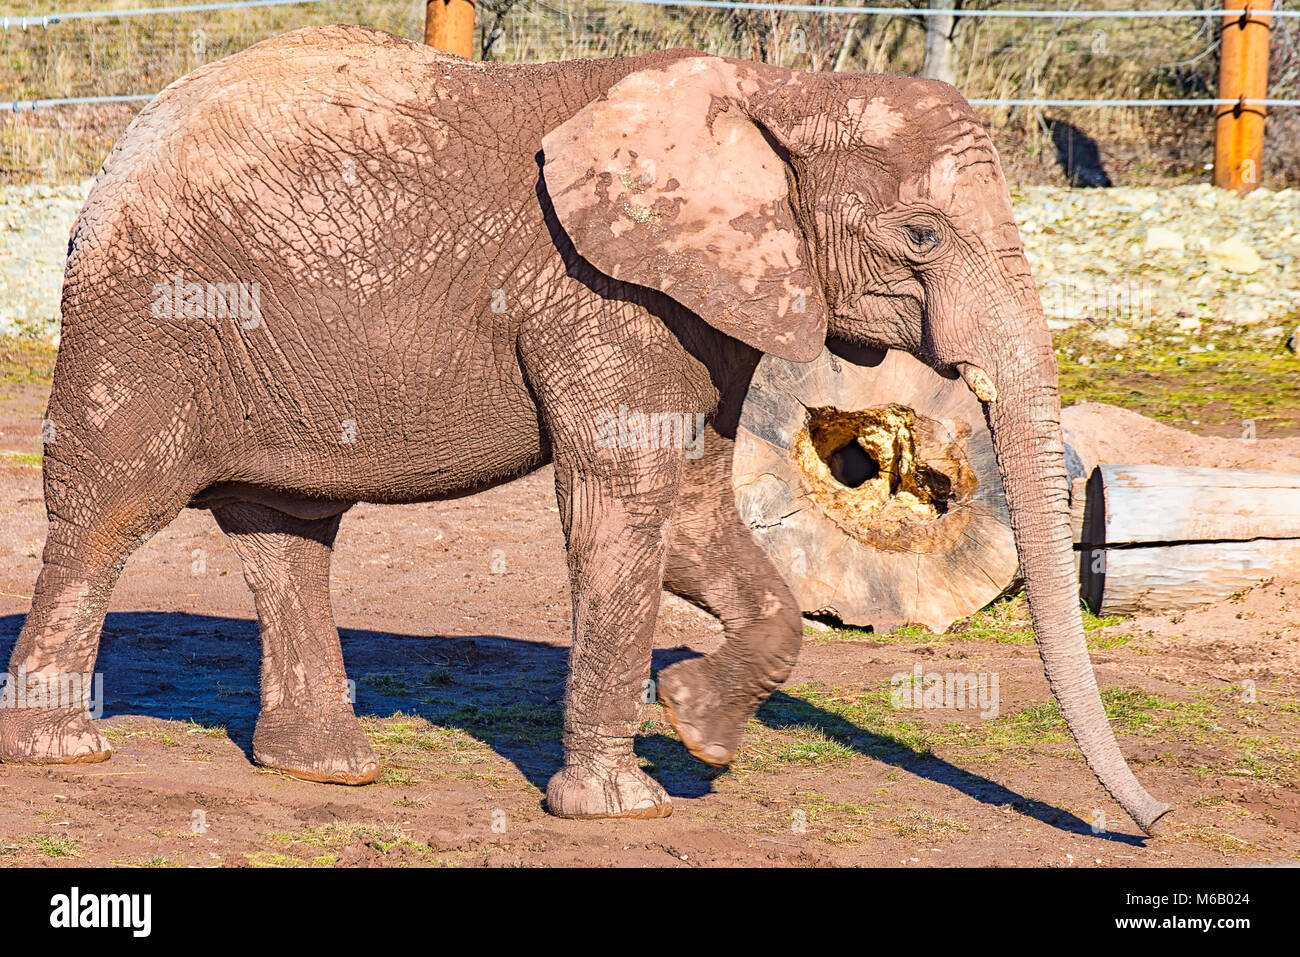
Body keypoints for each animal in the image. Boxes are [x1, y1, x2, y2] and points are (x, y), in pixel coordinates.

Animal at [0, 24, 1169, 832]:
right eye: (919, 236)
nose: (1152, 823)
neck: (774, 93)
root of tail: (120, 148)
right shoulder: (603, 292)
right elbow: (625, 499)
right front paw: (623, 805)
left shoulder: (706, 300)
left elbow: (692, 508)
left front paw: (697, 723)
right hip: (149, 312)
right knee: (113, 509)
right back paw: (61, 751)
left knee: (288, 530)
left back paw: (327, 766)